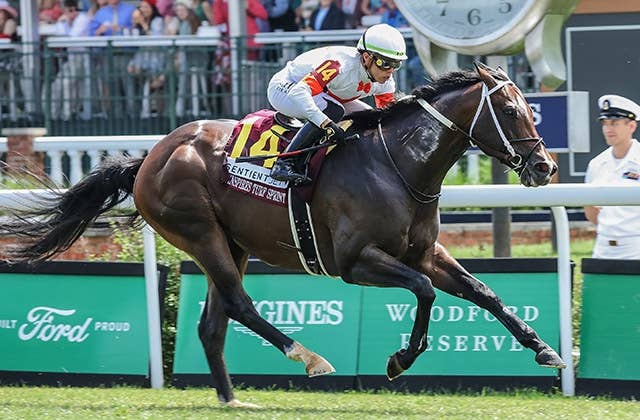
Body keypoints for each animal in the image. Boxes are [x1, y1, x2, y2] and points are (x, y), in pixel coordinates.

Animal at [3, 63, 564, 407]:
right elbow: (425, 292)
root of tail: (151, 157)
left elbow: (483, 291)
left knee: (213, 322)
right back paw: (308, 357)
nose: (546, 166)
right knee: (240, 305)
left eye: (528, 108)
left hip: (230, 243)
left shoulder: (424, 252)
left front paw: (545, 350)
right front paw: (399, 360)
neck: (398, 164)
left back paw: (232, 399)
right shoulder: (355, 262)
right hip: (198, 232)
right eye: (510, 110)